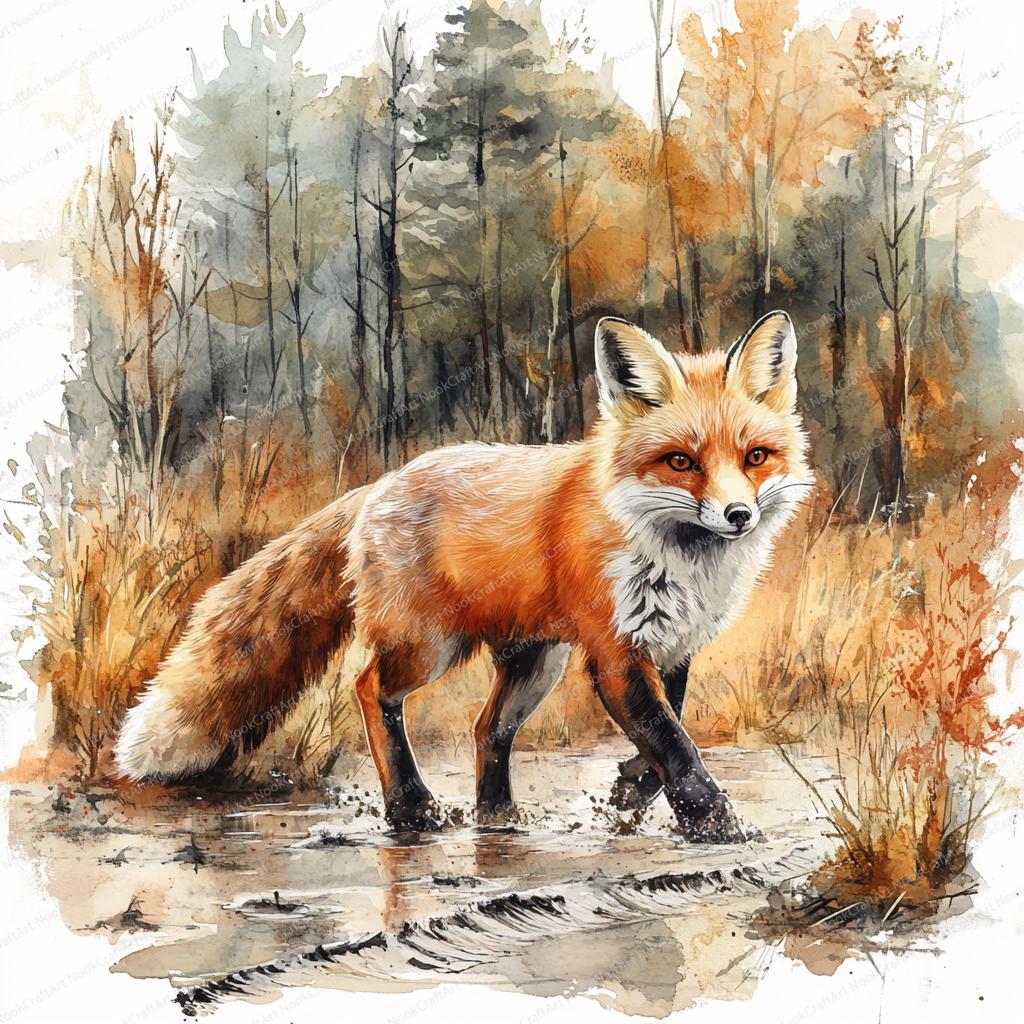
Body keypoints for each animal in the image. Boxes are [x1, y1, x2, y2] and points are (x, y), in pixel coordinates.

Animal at [114, 311, 812, 842]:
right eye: (680, 462)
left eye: (755, 456)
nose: (739, 515)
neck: (684, 564)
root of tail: (379, 485)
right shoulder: (615, 651)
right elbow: (676, 744)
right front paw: (713, 823)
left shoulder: (671, 645)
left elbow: (667, 732)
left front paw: (632, 791)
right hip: (430, 646)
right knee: (369, 688)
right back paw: (411, 808)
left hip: (537, 662)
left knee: (486, 729)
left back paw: (497, 817)